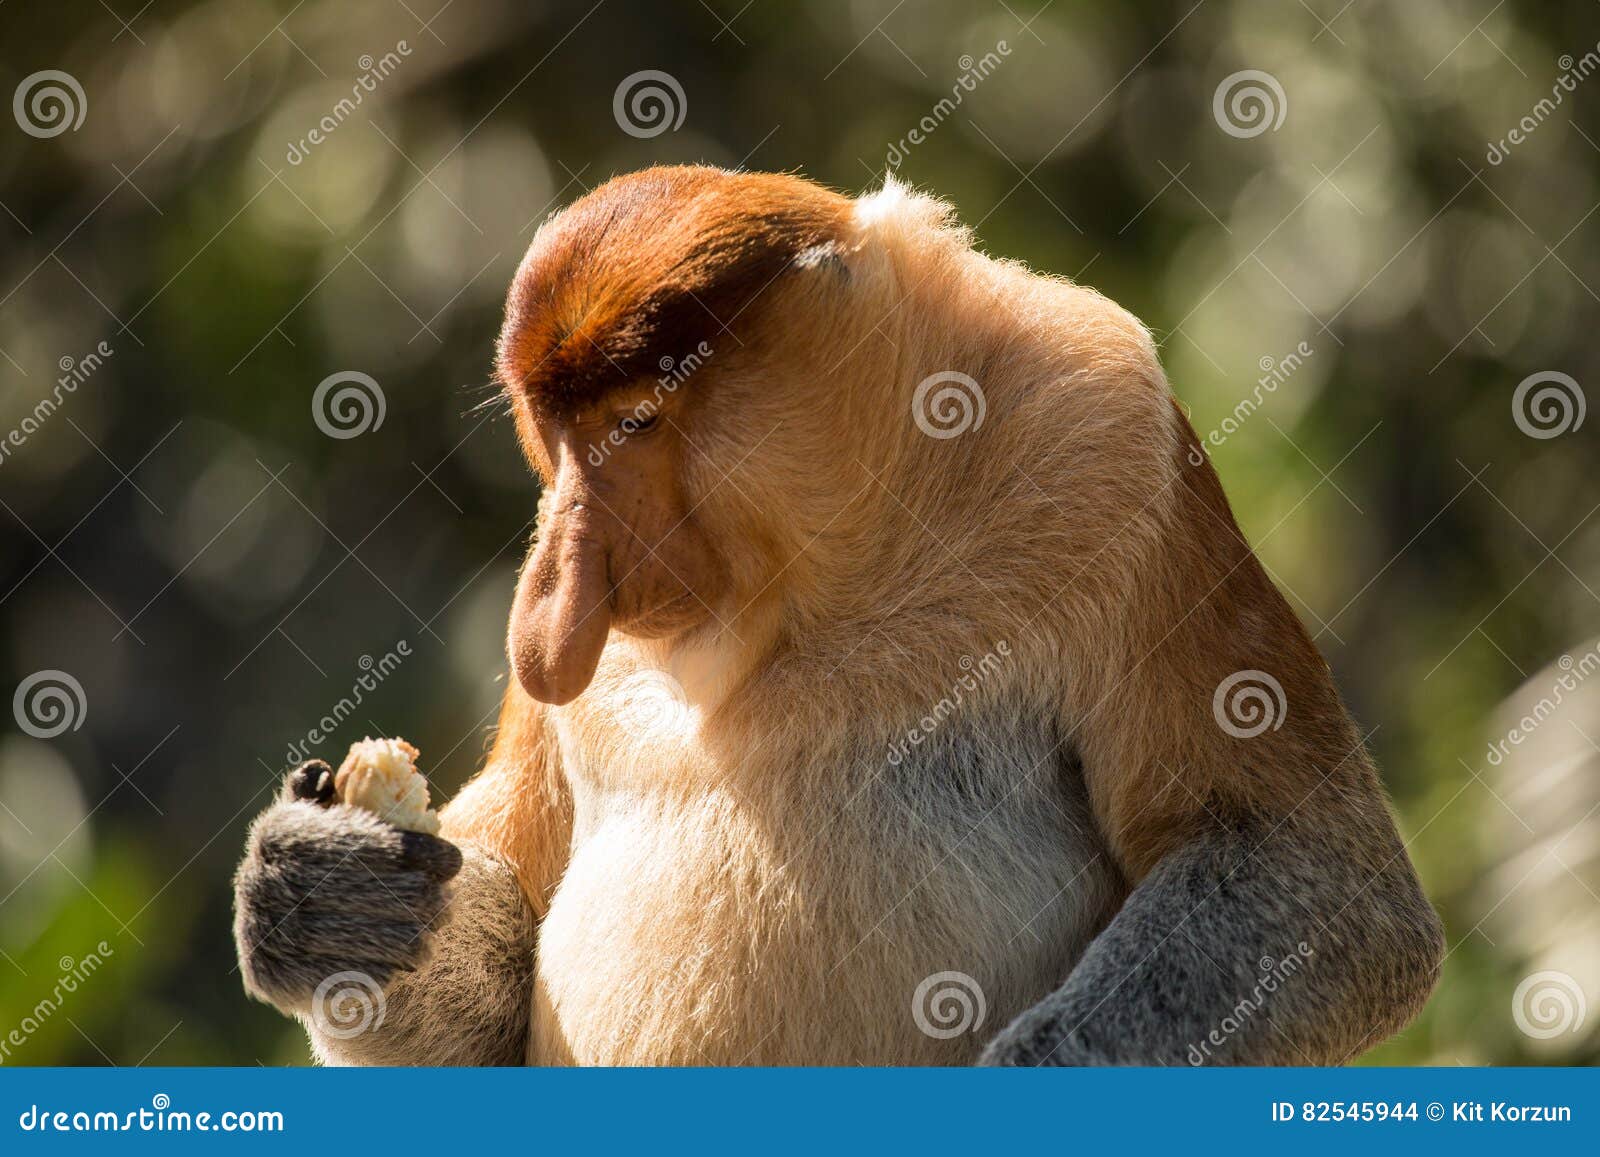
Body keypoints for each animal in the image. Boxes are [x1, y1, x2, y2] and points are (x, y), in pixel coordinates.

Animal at [233, 165, 1443, 1066]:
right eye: (558, 437)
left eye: (635, 422)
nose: (548, 612)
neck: (836, 567)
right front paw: (315, 885)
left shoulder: (1113, 438)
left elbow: (1309, 869)